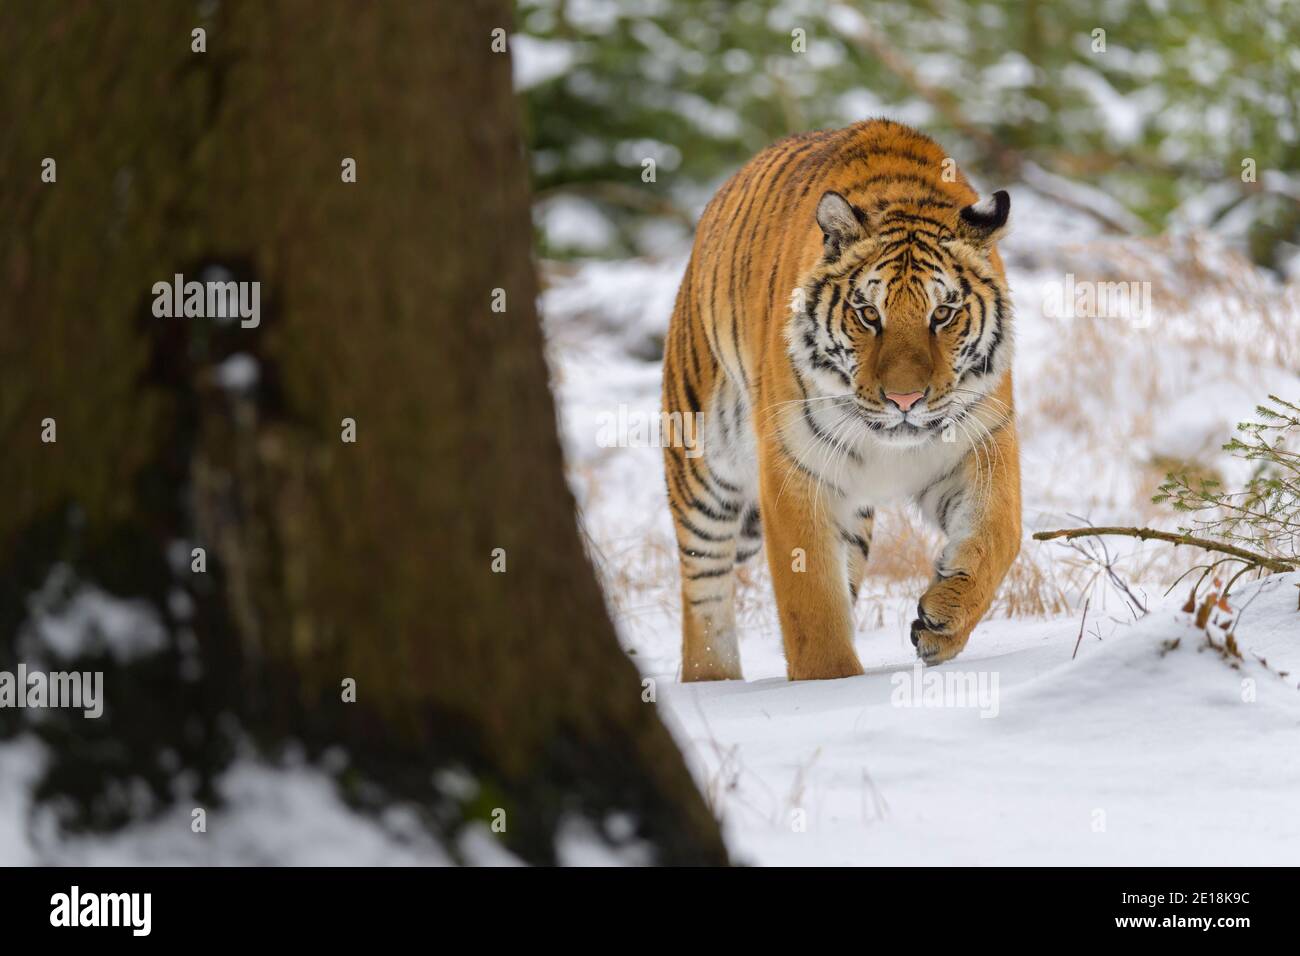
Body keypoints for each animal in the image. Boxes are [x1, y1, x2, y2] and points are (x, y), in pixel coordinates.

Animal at [661, 119, 1021, 682]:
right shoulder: (794, 469)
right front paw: (830, 684)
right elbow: (811, 602)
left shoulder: (980, 442)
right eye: (868, 314)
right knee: (702, 581)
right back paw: (712, 680)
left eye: (942, 314)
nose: (904, 399)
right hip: (702, 465)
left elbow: (1001, 535)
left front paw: (943, 622)